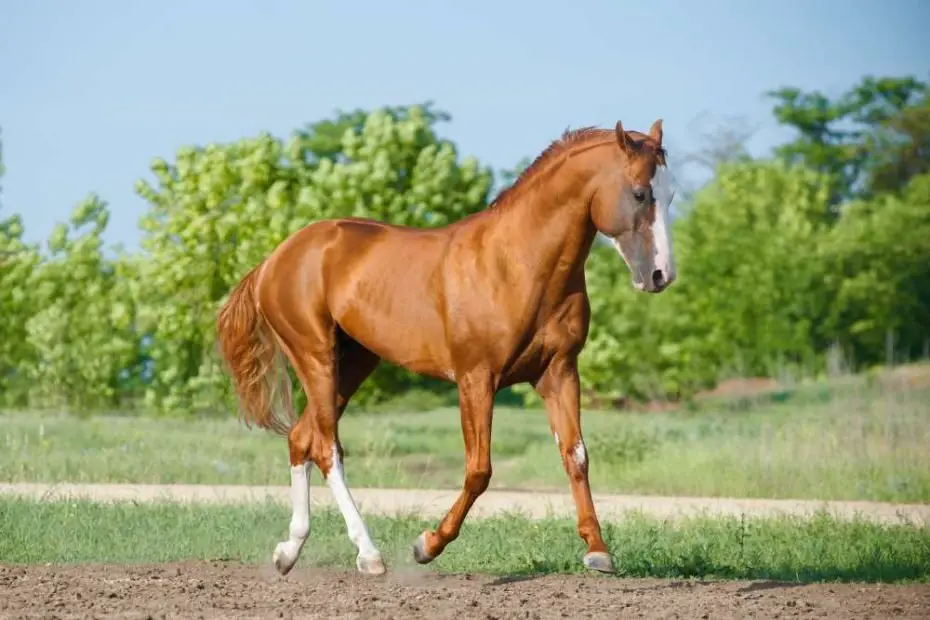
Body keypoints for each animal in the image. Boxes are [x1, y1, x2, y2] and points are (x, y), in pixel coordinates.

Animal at [215, 118, 676, 577]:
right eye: (640, 192)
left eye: (670, 194)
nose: (660, 276)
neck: (517, 265)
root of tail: (273, 261)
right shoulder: (476, 378)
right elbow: (479, 470)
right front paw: (426, 545)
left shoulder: (559, 372)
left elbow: (576, 455)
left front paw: (598, 551)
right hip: (316, 358)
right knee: (328, 447)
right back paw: (369, 554)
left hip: (354, 363)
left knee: (301, 438)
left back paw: (288, 552)